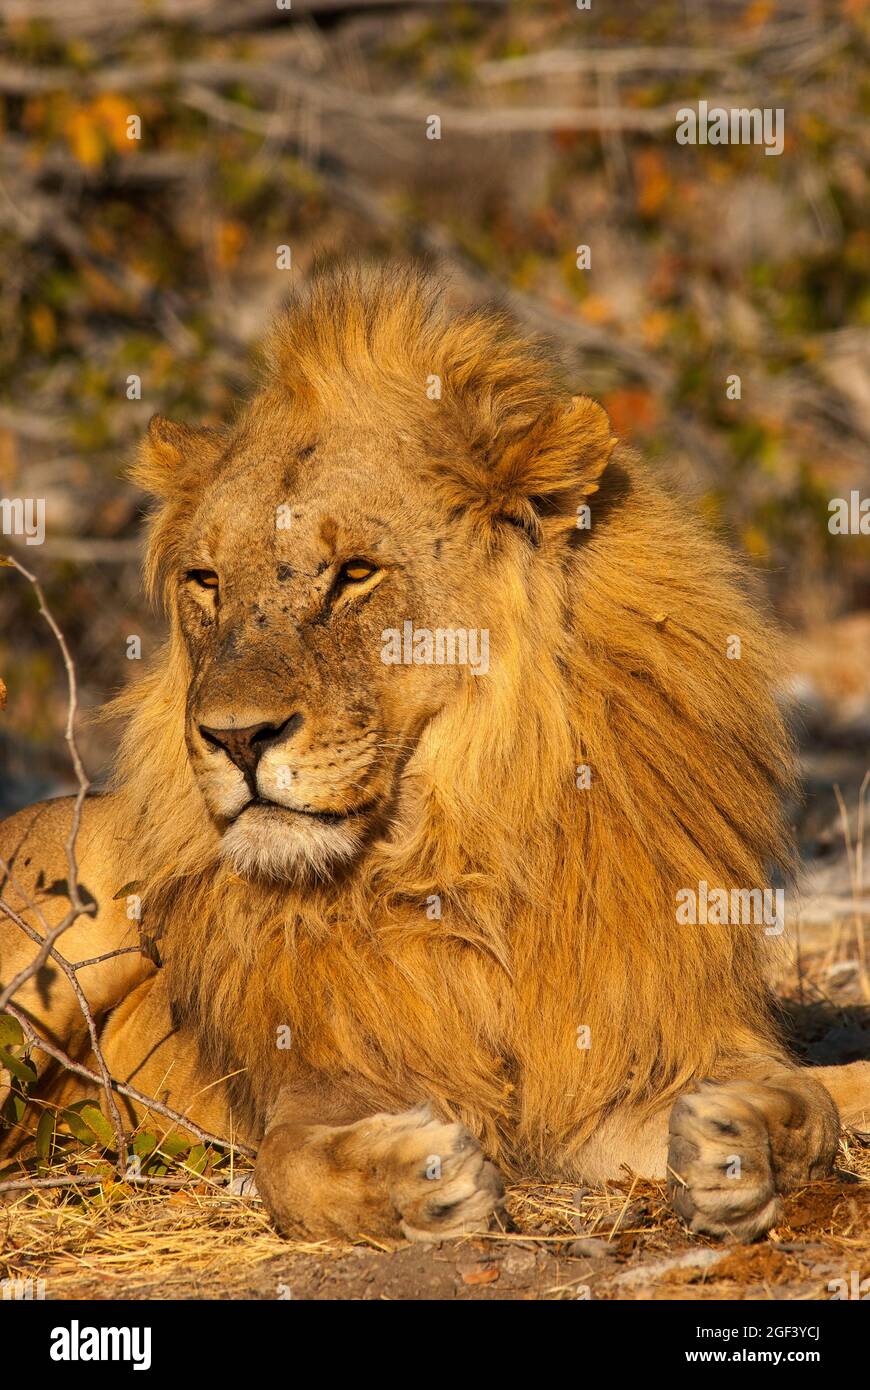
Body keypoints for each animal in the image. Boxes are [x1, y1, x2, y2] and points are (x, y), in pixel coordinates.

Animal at [2, 264, 868, 1244]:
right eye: (207, 581)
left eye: (356, 573)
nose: (233, 736)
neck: (449, 850)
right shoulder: (315, 1075)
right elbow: (288, 1161)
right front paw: (415, 1179)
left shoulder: (609, 1068)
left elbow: (806, 1101)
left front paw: (742, 1140)